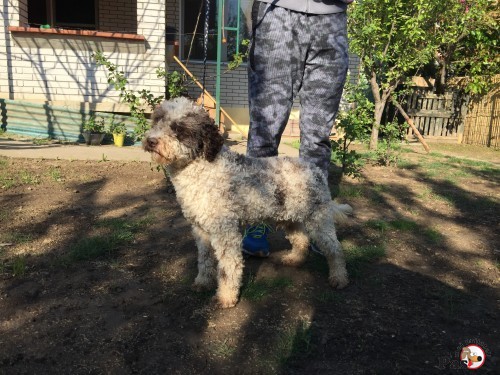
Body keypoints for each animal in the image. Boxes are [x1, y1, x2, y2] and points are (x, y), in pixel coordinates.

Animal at [142, 97, 352, 308]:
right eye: (157, 121)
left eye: (179, 129)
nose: (151, 141)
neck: (203, 169)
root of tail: (315, 170)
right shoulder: (200, 230)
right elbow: (205, 260)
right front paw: (202, 282)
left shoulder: (225, 231)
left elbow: (228, 268)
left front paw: (226, 297)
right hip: (290, 217)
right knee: (301, 239)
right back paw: (295, 259)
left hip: (318, 219)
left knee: (335, 248)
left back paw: (339, 278)